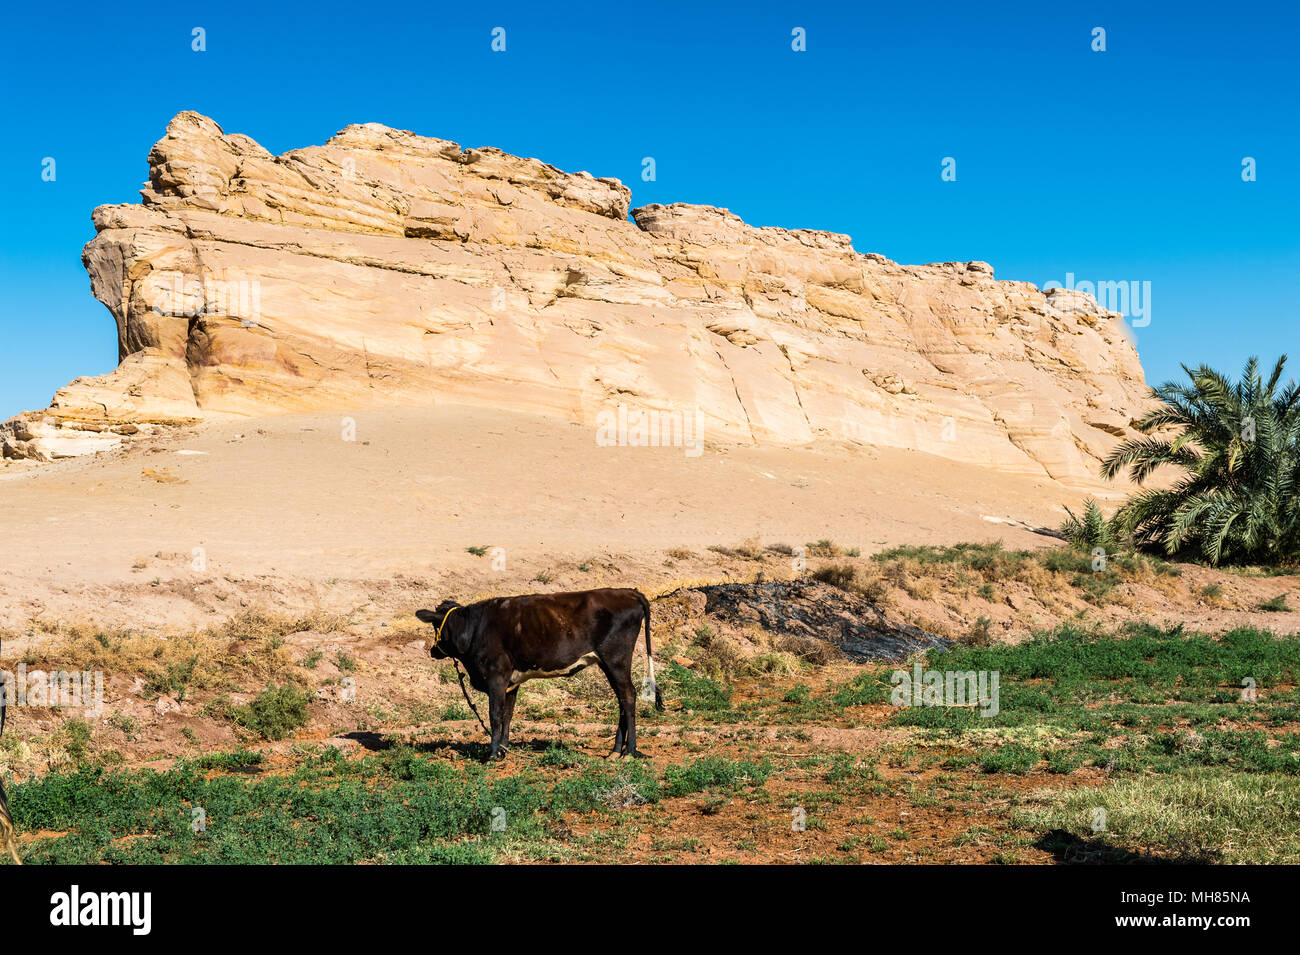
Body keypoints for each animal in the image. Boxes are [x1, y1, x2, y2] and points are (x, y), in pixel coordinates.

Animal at [416, 588, 663, 761]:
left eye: (435, 627)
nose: (432, 651)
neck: (475, 629)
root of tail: (628, 591)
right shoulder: (511, 681)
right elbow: (508, 714)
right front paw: (504, 749)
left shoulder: (496, 677)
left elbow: (495, 715)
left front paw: (493, 755)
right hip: (608, 663)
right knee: (622, 699)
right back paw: (615, 751)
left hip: (616, 659)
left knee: (628, 696)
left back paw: (629, 751)